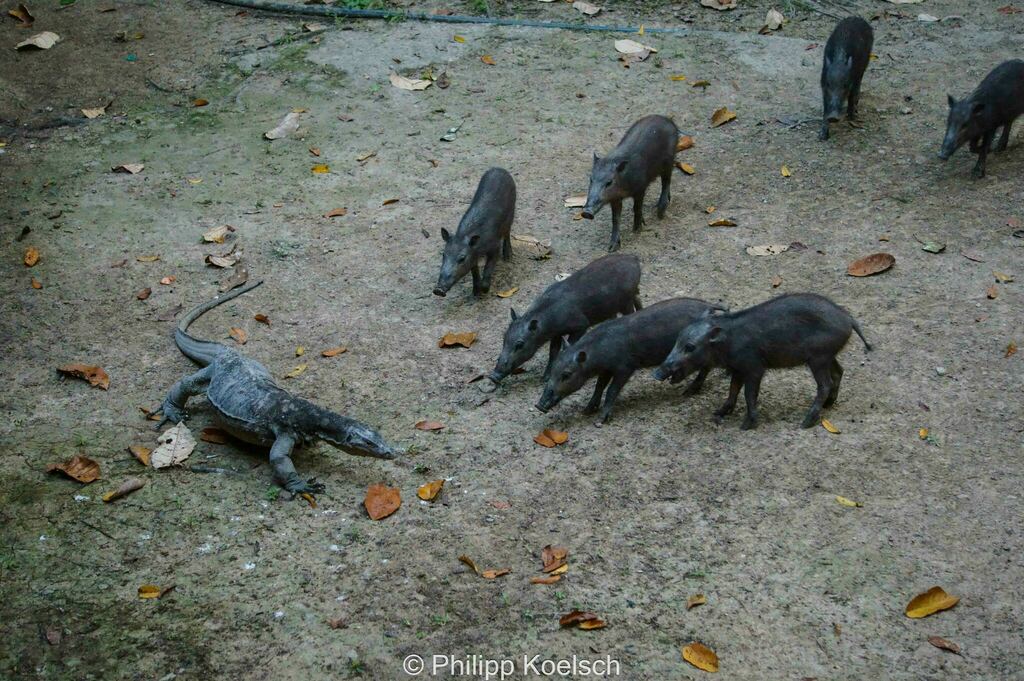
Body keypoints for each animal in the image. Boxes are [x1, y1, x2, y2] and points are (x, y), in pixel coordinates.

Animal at [434, 167, 516, 297]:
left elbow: (488, 268)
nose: (438, 290)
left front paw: (485, 290)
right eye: (443, 254)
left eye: (462, 258)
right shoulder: (473, 255)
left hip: (511, 211)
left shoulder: (494, 246)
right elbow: (474, 271)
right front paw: (475, 292)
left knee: (507, 232)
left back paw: (508, 257)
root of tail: (500, 169)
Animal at [488, 254, 643, 385]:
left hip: (625, 302)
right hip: (632, 295)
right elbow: (553, 352)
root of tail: (634, 258)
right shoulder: (556, 334)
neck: (549, 317)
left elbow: (567, 345)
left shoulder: (581, 325)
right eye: (504, 337)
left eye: (519, 344)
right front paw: (545, 377)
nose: (492, 376)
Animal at [535, 297, 723, 424]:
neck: (599, 351)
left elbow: (611, 390)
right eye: (553, 369)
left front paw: (601, 419)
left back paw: (689, 391)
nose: (539, 405)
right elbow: (599, 386)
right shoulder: (606, 369)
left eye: (566, 374)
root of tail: (710, 306)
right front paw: (587, 410)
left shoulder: (625, 368)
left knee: (706, 367)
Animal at [581, 115, 681, 252]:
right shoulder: (615, 199)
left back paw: (660, 211)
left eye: (609, 182)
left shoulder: (640, 188)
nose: (586, 212)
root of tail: (669, 120)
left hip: (669, 160)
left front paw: (637, 229)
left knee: (666, 181)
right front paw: (612, 247)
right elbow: (615, 218)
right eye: (591, 179)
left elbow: (637, 207)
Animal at [653, 294, 871, 430]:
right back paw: (828, 405)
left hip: (818, 358)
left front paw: (747, 425)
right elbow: (733, 390)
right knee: (839, 373)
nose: (657, 373)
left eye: (690, 347)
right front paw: (720, 412)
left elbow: (749, 394)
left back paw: (806, 421)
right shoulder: (738, 369)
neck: (728, 342)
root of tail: (849, 320)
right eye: (677, 339)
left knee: (825, 384)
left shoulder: (754, 368)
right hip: (827, 356)